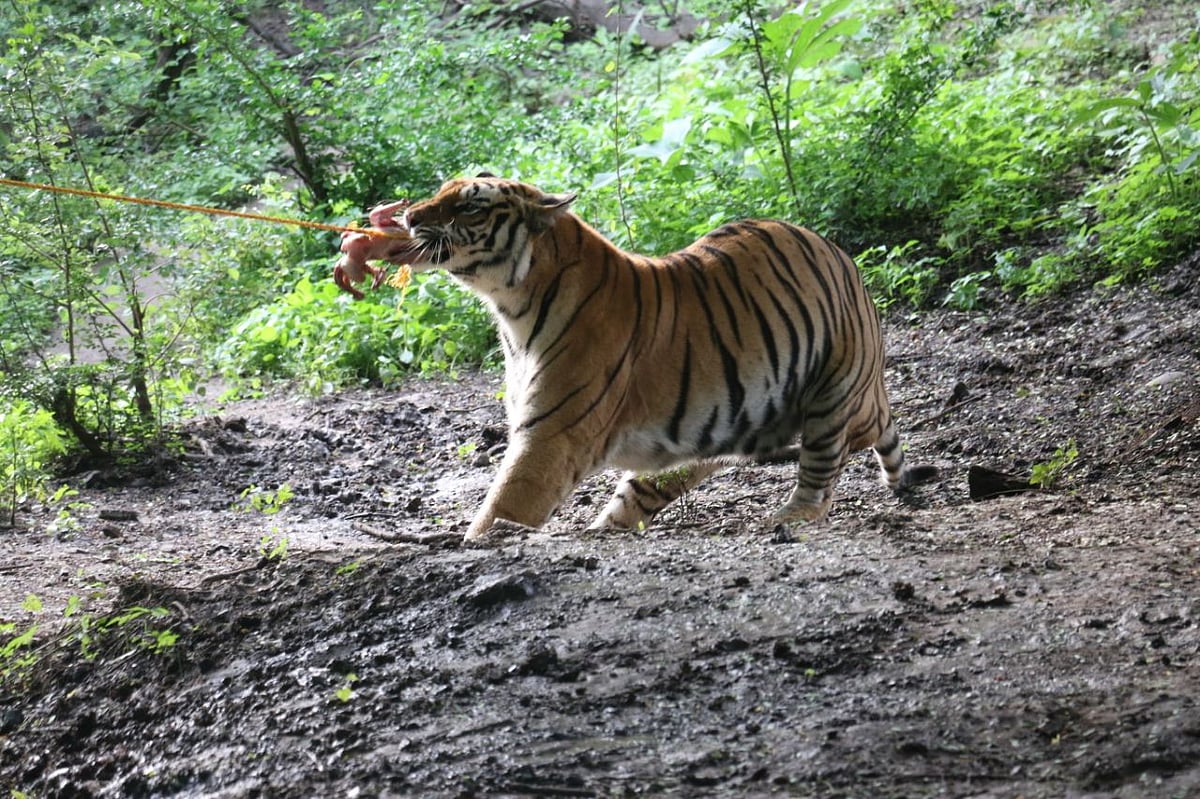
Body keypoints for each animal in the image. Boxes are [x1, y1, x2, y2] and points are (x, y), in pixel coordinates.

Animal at [342, 174, 935, 540]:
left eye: (469, 204)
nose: (406, 216)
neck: (509, 304)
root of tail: (842, 257)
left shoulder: (549, 435)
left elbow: (504, 508)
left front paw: (473, 543)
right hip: (719, 426)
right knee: (645, 491)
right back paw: (603, 530)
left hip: (834, 387)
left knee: (821, 473)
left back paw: (792, 515)